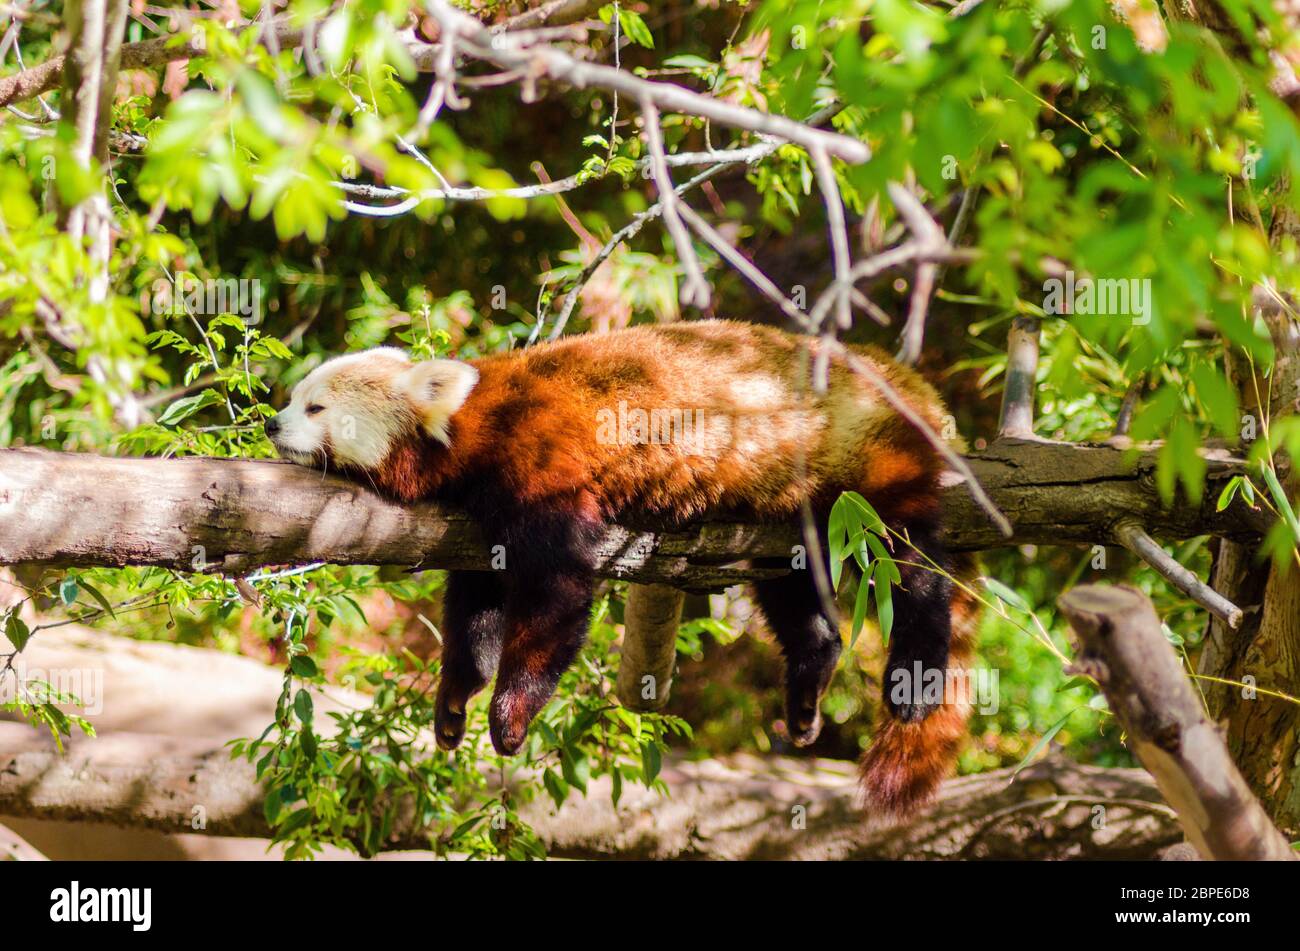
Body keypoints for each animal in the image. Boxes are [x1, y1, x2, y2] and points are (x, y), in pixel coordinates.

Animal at [265, 319, 979, 814]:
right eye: (295, 398)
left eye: (316, 407)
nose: (272, 424)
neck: (475, 423)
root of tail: (907, 381)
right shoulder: (477, 522)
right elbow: (477, 607)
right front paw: (454, 702)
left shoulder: (543, 463)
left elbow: (555, 598)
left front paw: (510, 714)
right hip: (791, 512)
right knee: (794, 589)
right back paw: (807, 682)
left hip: (871, 463)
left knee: (912, 570)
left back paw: (913, 678)